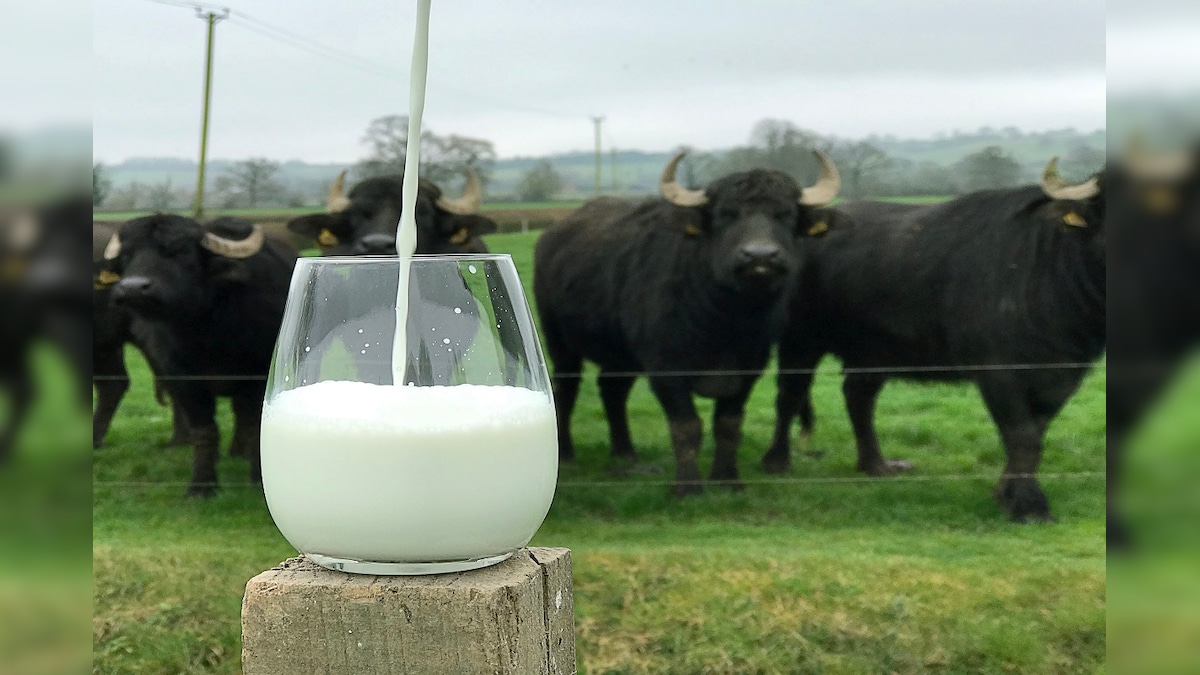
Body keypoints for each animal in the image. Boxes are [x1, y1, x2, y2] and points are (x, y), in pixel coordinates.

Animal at [101, 215, 297, 496]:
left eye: (181, 252)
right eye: (127, 255)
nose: (133, 288)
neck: (205, 332)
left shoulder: (257, 378)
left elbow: (254, 426)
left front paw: (257, 479)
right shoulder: (184, 380)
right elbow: (204, 431)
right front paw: (201, 486)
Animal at [535, 150, 843, 495]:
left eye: (785, 214)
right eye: (726, 215)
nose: (760, 256)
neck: (725, 320)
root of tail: (550, 237)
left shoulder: (750, 367)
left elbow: (728, 425)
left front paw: (727, 479)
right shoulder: (665, 367)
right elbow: (686, 426)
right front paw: (688, 487)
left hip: (620, 354)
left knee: (613, 390)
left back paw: (625, 453)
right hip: (557, 339)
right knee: (567, 387)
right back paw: (568, 454)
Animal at [765, 159, 1106, 521]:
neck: (1051, 272)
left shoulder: (1063, 375)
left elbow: (1035, 434)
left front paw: (1006, 494)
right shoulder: (998, 374)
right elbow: (1023, 437)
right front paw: (1029, 506)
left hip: (872, 351)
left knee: (858, 396)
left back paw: (876, 464)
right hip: (800, 340)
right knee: (790, 394)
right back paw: (777, 461)